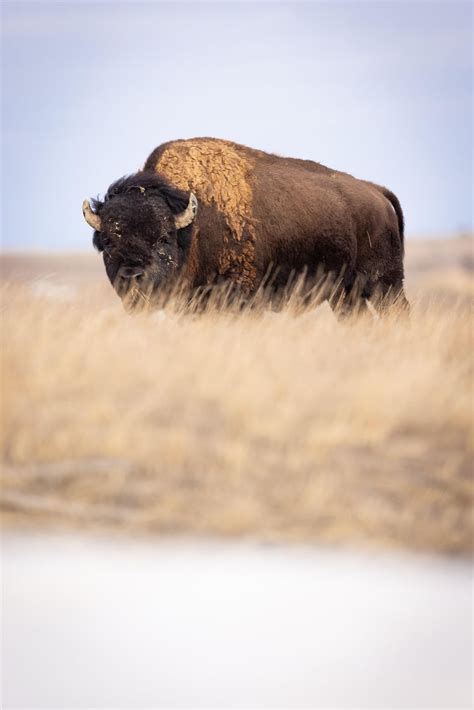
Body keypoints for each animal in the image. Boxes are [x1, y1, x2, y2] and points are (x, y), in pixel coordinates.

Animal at [83, 137, 409, 315]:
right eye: (108, 241)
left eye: (163, 238)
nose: (131, 276)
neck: (193, 227)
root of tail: (376, 191)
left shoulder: (238, 296)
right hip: (346, 295)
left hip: (386, 284)